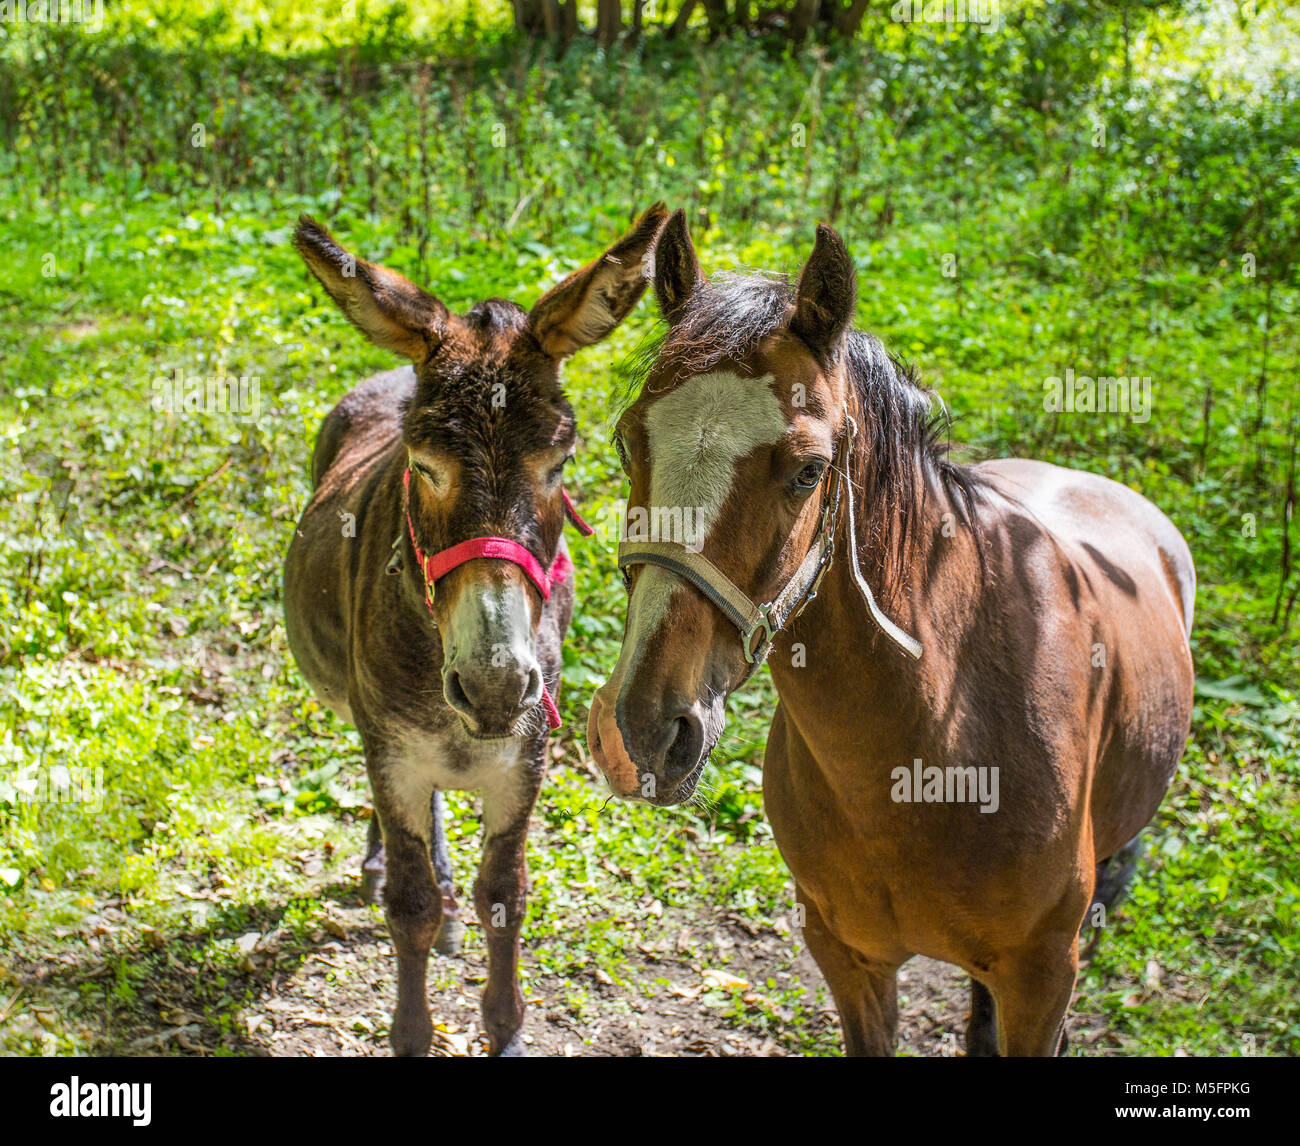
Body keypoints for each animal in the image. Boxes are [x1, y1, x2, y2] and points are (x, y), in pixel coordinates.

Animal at [283, 205, 667, 1056]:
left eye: (560, 465)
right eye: (422, 465)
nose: (492, 687)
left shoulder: (523, 760)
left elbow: (506, 898)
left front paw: (505, 1027)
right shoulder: (392, 751)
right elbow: (411, 904)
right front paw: (412, 1030)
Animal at [586, 210, 1195, 1056]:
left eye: (808, 471)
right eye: (625, 441)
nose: (641, 727)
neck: (938, 735)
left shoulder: (1045, 980)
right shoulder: (850, 958)